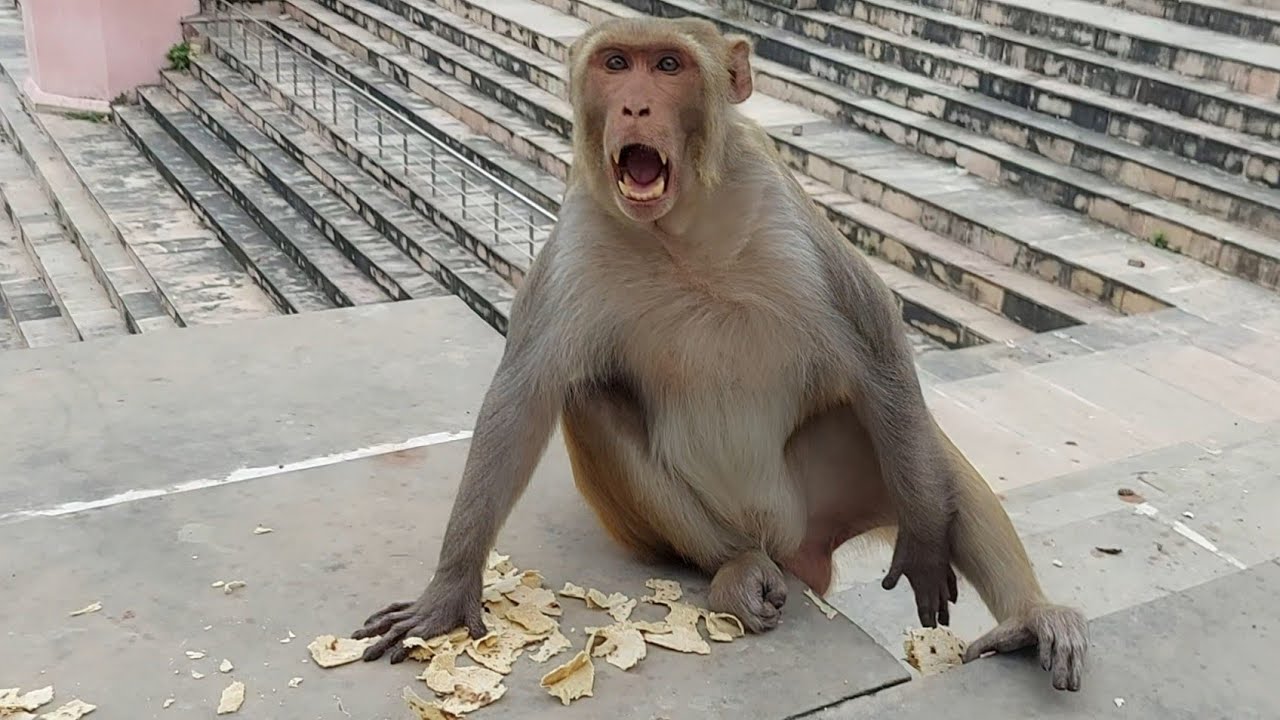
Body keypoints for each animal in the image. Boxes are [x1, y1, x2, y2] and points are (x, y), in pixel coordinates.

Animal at [352, 16, 1088, 692]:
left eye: (668, 65)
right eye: (616, 64)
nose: (635, 107)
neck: (683, 232)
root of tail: (795, 549)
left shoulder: (779, 199)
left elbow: (876, 338)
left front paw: (932, 540)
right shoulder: (580, 234)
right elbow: (523, 395)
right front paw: (450, 587)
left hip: (836, 482)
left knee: (926, 448)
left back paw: (1030, 617)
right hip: (684, 529)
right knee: (590, 404)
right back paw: (735, 569)